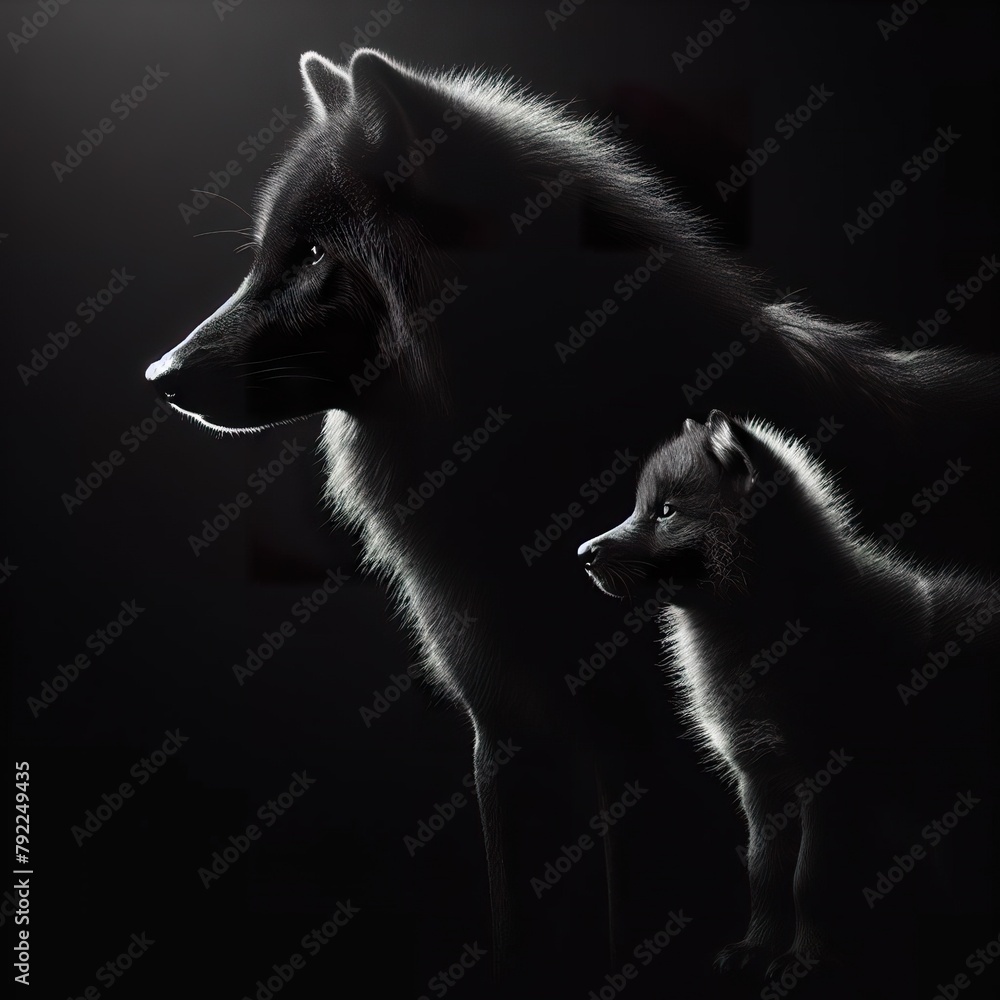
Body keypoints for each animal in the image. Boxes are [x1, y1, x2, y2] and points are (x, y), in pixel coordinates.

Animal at [578, 410, 998, 981]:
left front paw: (806, 960)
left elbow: (808, 879)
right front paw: (756, 948)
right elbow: (765, 875)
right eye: (640, 508)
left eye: (665, 511)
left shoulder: (827, 779)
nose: (583, 554)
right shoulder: (759, 780)